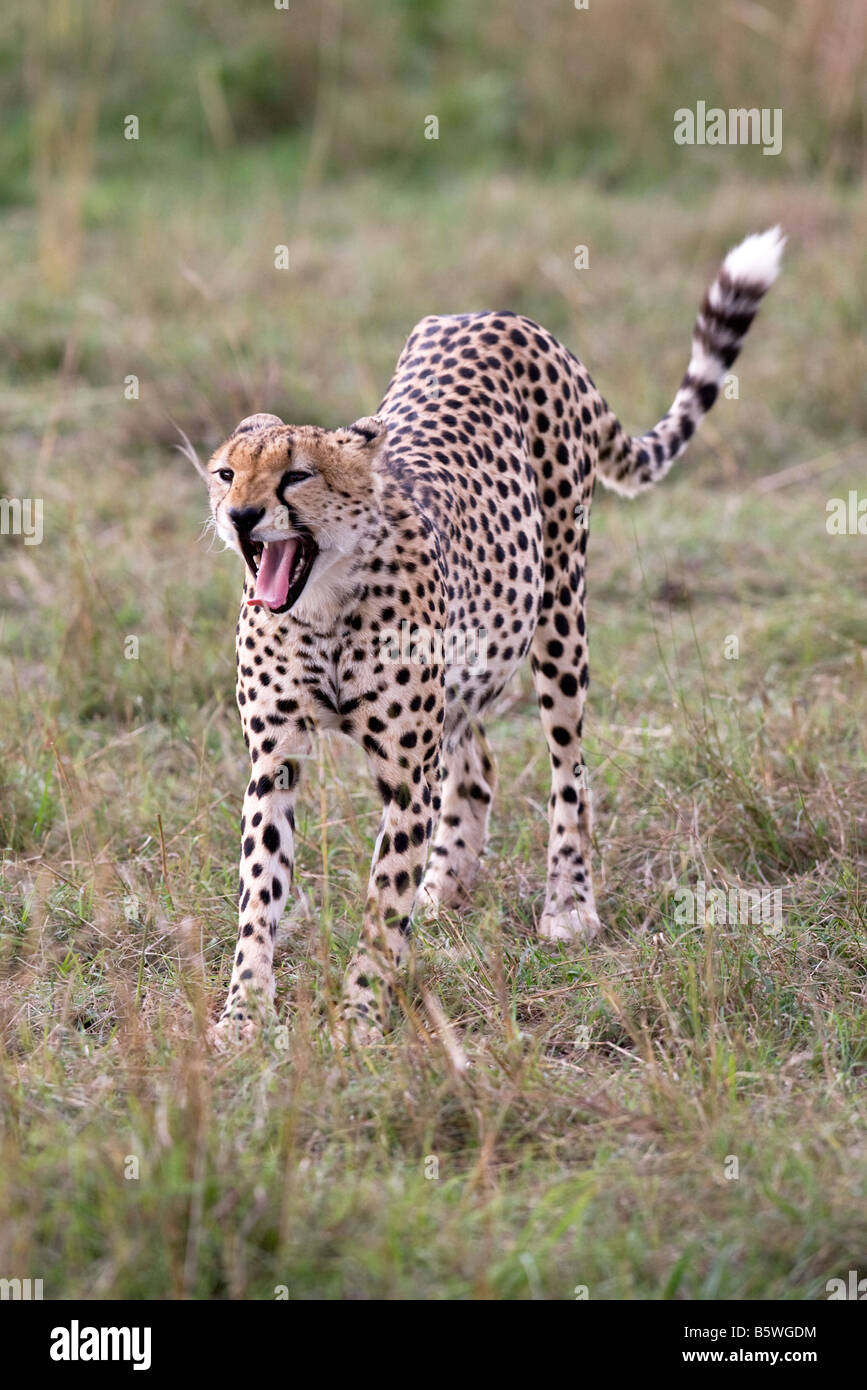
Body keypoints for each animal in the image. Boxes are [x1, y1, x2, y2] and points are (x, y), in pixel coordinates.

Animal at [194, 226, 784, 1046]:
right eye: (225, 474)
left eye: (297, 477)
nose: (241, 516)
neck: (325, 609)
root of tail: (498, 316)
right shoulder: (274, 760)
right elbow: (259, 894)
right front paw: (245, 1014)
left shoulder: (404, 774)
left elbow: (380, 902)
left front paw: (360, 1015)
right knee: (475, 766)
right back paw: (447, 886)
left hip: (561, 615)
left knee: (568, 771)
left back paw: (567, 904)